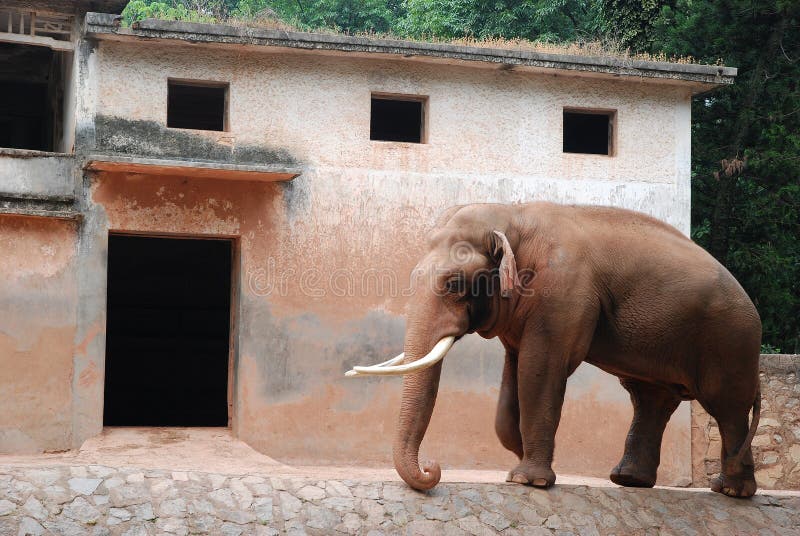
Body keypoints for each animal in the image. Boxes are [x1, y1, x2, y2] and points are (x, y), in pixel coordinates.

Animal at [347, 202, 761, 498]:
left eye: (452, 284)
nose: (432, 469)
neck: (512, 215)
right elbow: (513, 380)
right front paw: (519, 461)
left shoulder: (563, 294)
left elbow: (540, 368)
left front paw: (527, 480)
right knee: (651, 399)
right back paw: (629, 480)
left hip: (729, 343)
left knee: (726, 408)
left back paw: (730, 490)